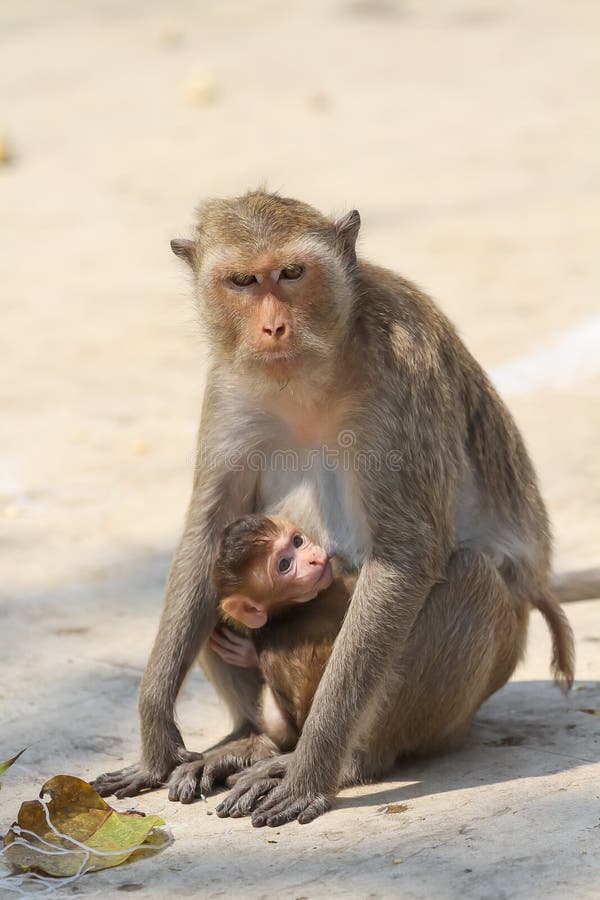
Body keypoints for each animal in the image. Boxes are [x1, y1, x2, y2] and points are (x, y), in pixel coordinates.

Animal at [92, 189, 583, 827]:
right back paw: (249, 740)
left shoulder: (402, 377)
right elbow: (207, 534)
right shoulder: (229, 385)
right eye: (243, 281)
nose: (274, 326)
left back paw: (345, 761)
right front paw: (155, 740)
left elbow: (405, 558)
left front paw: (312, 772)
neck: (313, 376)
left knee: (470, 577)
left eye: (292, 273)